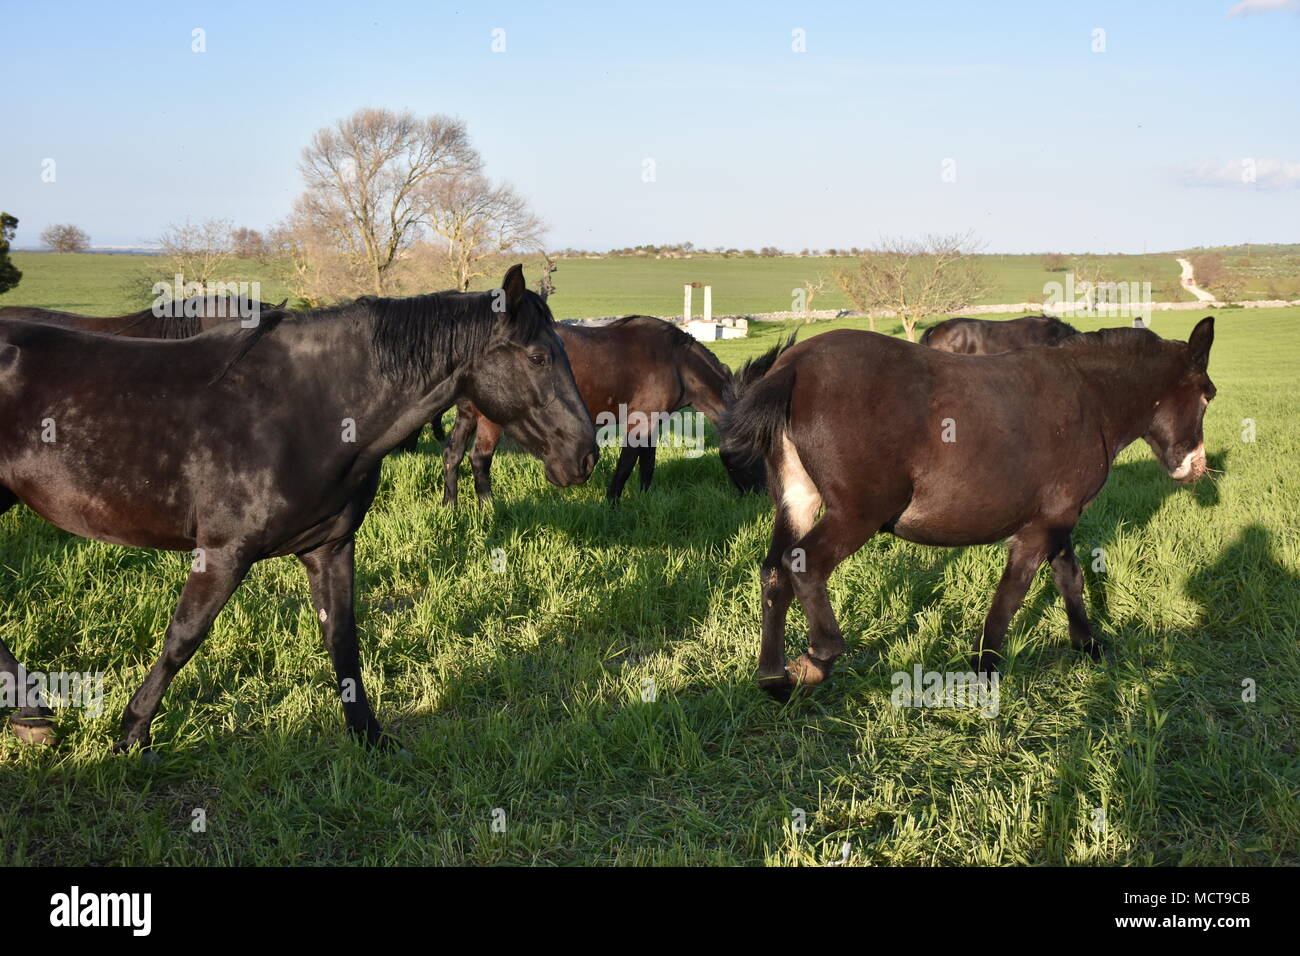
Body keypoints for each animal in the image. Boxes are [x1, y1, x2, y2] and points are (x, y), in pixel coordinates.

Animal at [0, 265, 596, 753]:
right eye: (539, 356)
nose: (585, 455)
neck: (307, 408)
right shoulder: (222, 553)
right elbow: (182, 639)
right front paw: (132, 734)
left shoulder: (329, 547)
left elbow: (343, 642)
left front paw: (370, 738)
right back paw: (33, 715)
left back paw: (31, 714)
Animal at [439, 318, 792, 503]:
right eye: (762, 453)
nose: (763, 495)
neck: (677, 362)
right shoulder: (639, 420)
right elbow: (626, 464)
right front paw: (611, 503)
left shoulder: (653, 422)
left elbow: (647, 463)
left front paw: (646, 500)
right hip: (491, 419)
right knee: (479, 460)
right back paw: (488, 508)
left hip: (468, 414)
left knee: (452, 455)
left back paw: (451, 506)